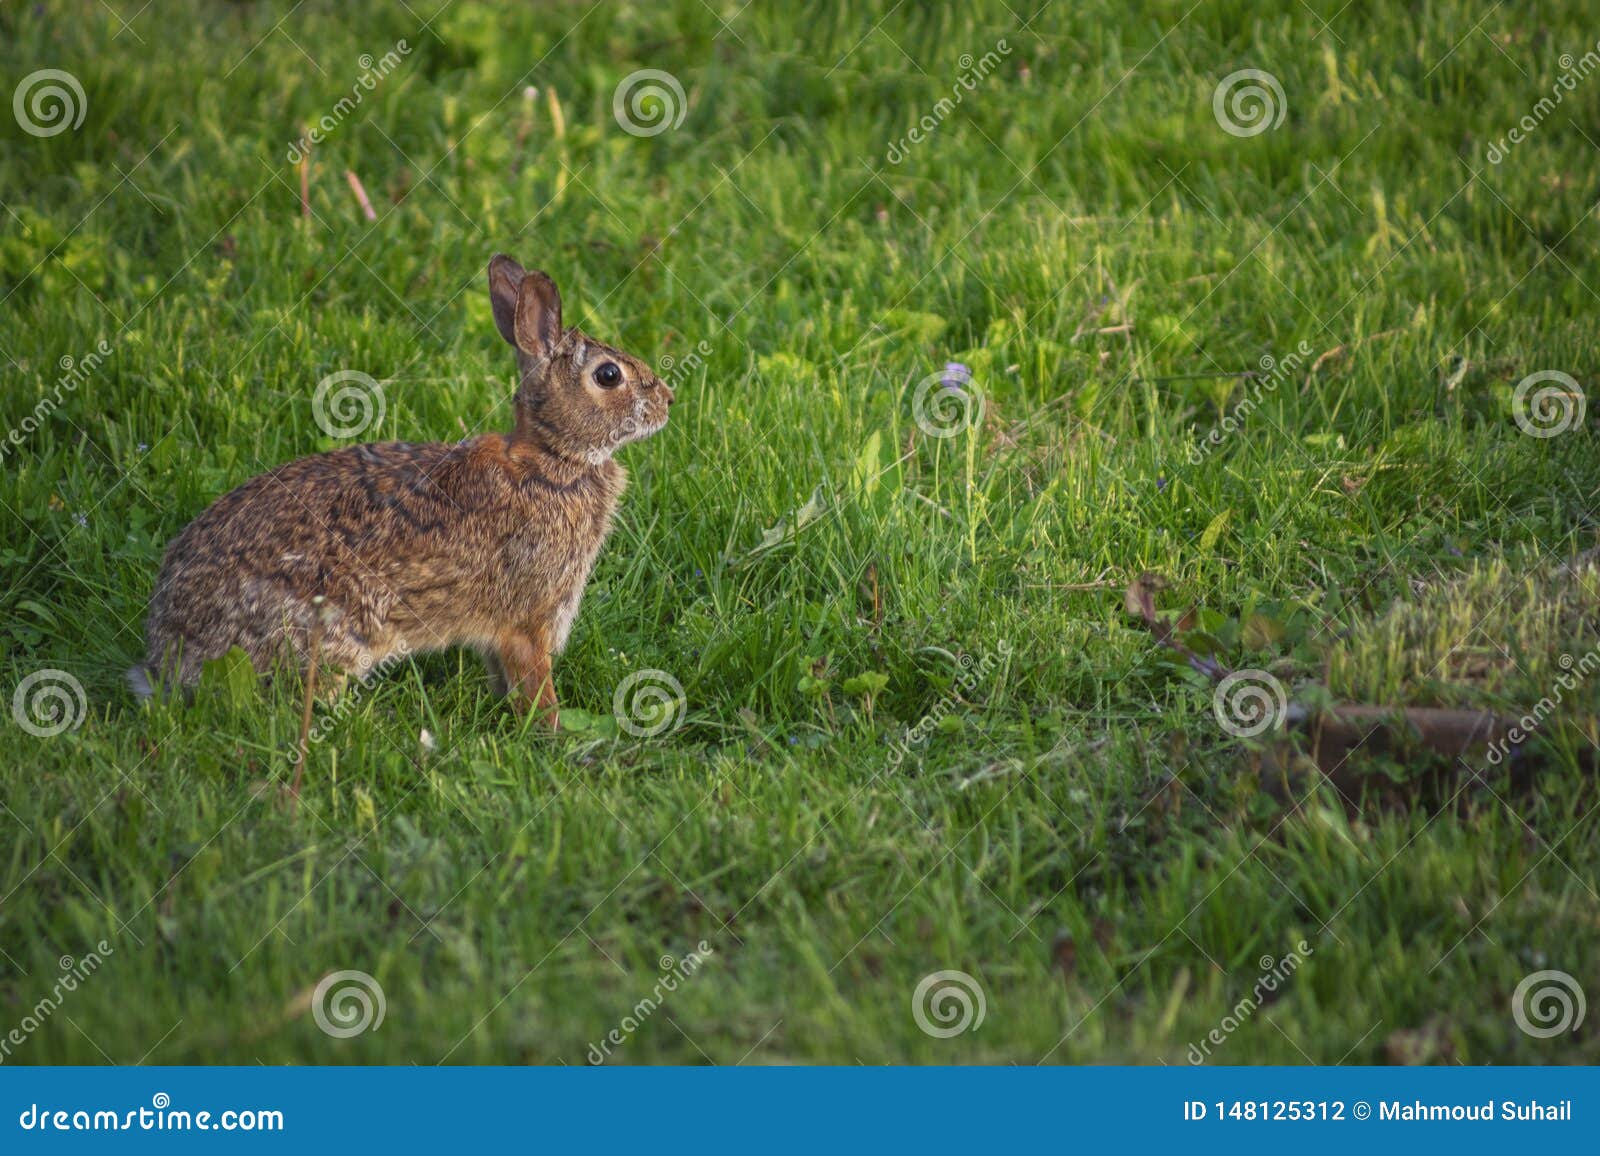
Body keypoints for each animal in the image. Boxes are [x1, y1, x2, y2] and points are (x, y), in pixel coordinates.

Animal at [128, 254, 674, 725]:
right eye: (609, 375)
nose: (668, 400)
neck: (552, 463)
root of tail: (168, 654)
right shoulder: (529, 619)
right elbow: (533, 682)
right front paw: (554, 732)